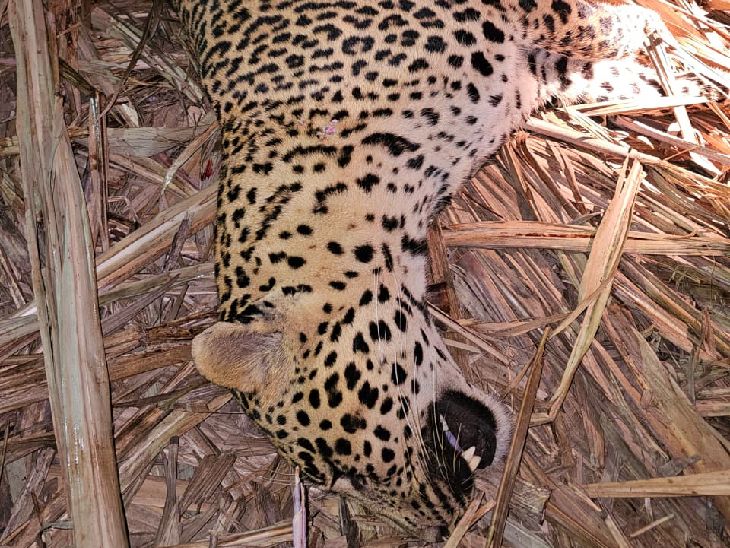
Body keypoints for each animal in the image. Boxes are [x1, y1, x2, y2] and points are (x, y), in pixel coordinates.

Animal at [176, 0, 715, 538]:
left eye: (344, 470)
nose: (440, 528)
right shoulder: (535, 67)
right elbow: (599, 68)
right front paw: (675, 84)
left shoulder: (520, 15)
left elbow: (590, 27)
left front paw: (652, 37)